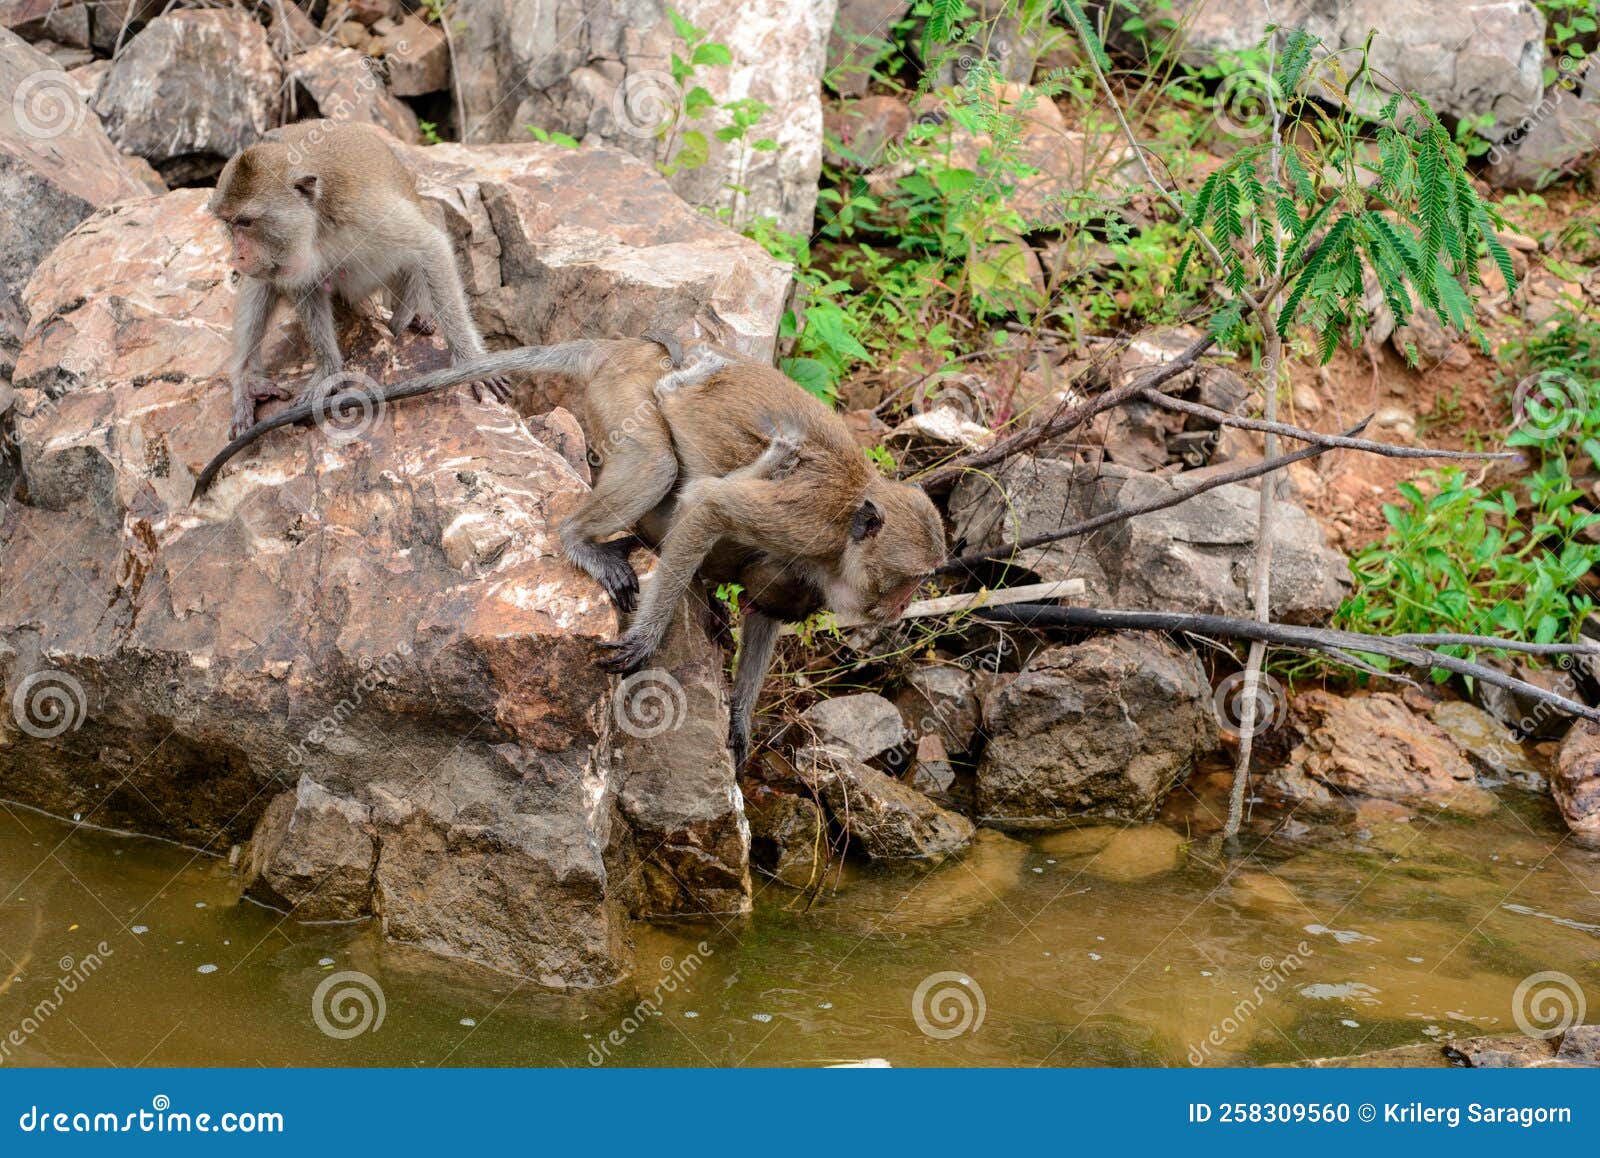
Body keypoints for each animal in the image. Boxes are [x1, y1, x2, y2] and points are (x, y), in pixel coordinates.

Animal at [190, 336, 948, 767]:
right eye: (907, 580)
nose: (900, 609)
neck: (846, 531)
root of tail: (636, 349)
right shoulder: (806, 524)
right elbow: (711, 507)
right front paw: (646, 638)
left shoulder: (806, 564)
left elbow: (768, 604)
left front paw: (738, 713)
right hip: (628, 394)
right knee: (660, 466)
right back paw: (585, 537)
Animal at [207, 119, 509, 440]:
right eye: (228, 223)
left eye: (245, 222)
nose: (237, 257)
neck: (317, 222)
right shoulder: (290, 258)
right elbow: (303, 287)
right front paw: (328, 370)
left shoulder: (365, 212)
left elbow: (431, 246)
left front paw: (469, 362)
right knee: (259, 282)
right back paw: (247, 382)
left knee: (430, 217)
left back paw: (416, 311)